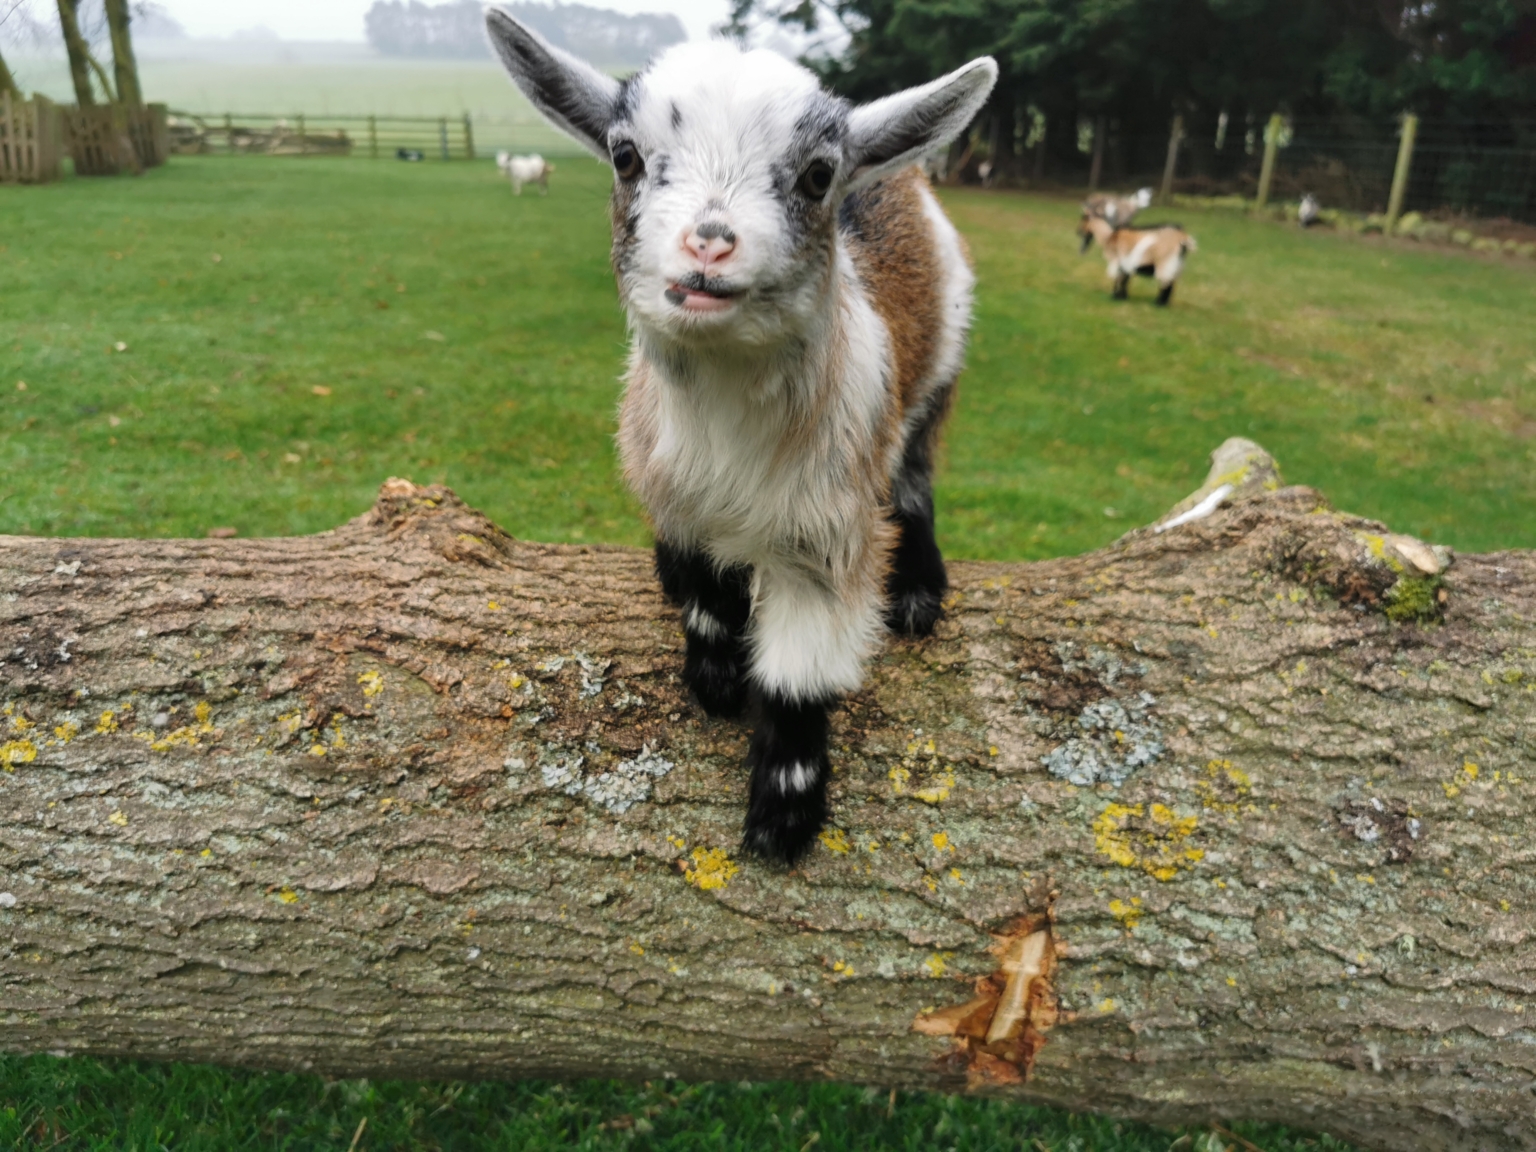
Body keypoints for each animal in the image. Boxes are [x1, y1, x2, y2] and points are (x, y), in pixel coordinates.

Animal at [487, 8, 996, 864]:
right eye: (625, 156)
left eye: (819, 175)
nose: (709, 243)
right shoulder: (671, 483)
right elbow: (703, 589)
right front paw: (715, 671)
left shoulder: (827, 527)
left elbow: (799, 673)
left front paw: (784, 810)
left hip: (939, 369)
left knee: (917, 473)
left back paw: (919, 588)